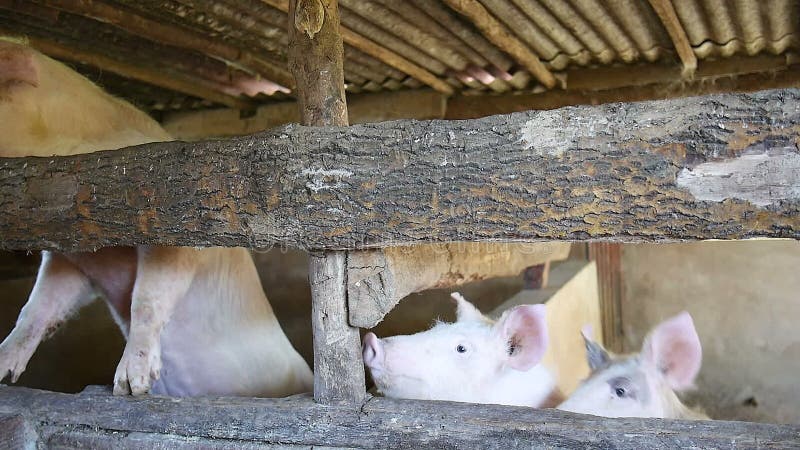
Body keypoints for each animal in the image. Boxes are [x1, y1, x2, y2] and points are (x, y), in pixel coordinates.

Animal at [0, 38, 313, 397]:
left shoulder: (175, 234)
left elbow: (146, 300)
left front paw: (130, 386)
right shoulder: (71, 257)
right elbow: (36, 309)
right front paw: (3, 369)